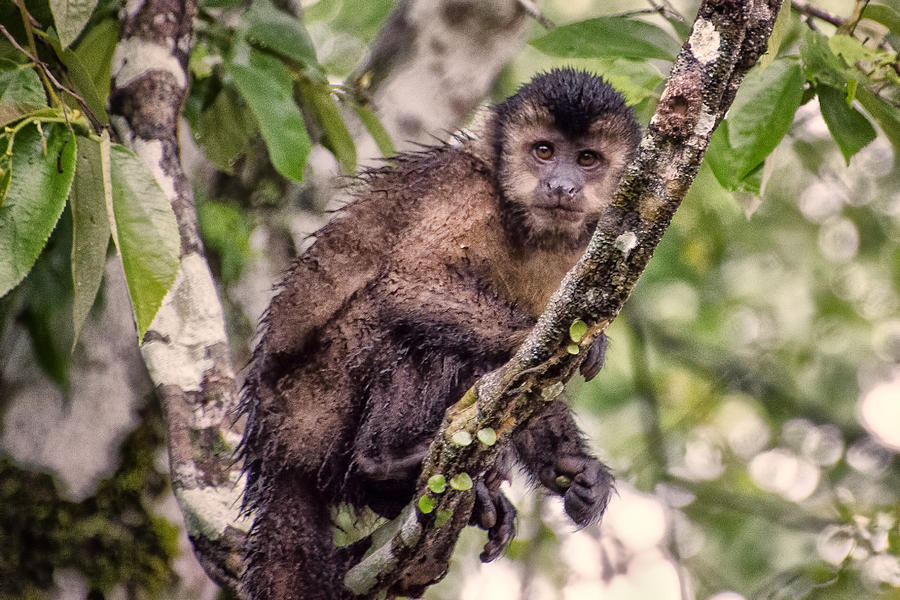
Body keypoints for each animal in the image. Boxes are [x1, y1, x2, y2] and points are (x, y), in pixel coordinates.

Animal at [238, 68, 641, 600]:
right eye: (544, 151)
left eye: (587, 159)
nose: (561, 185)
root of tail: (270, 449)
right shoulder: (463, 192)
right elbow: (408, 285)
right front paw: (550, 343)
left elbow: (534, 382)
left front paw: (573, 471)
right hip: (311, 412)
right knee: (402, 330)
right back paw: (386, 461)